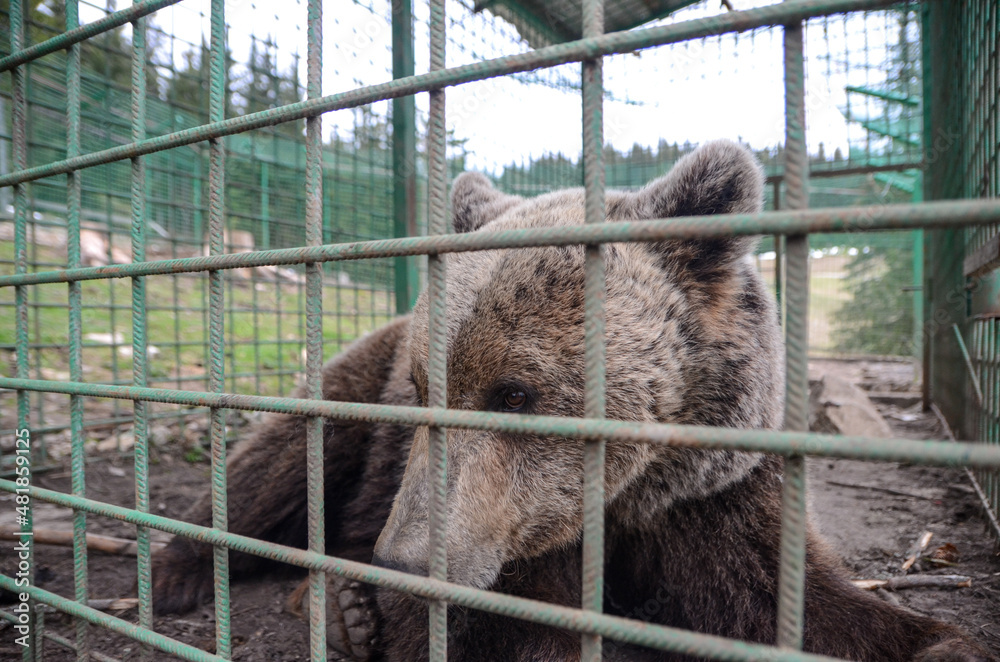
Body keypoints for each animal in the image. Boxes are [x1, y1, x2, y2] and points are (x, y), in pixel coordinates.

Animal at [151, 140, 995, 661]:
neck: (625, 491)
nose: (405, 558)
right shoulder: (506, 518)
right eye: (422, 389)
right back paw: (198, 575)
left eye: (515, 391)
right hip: (351, 384)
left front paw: (943, 641)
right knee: (280, 460)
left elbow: (783, 597)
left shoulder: (713, 487)